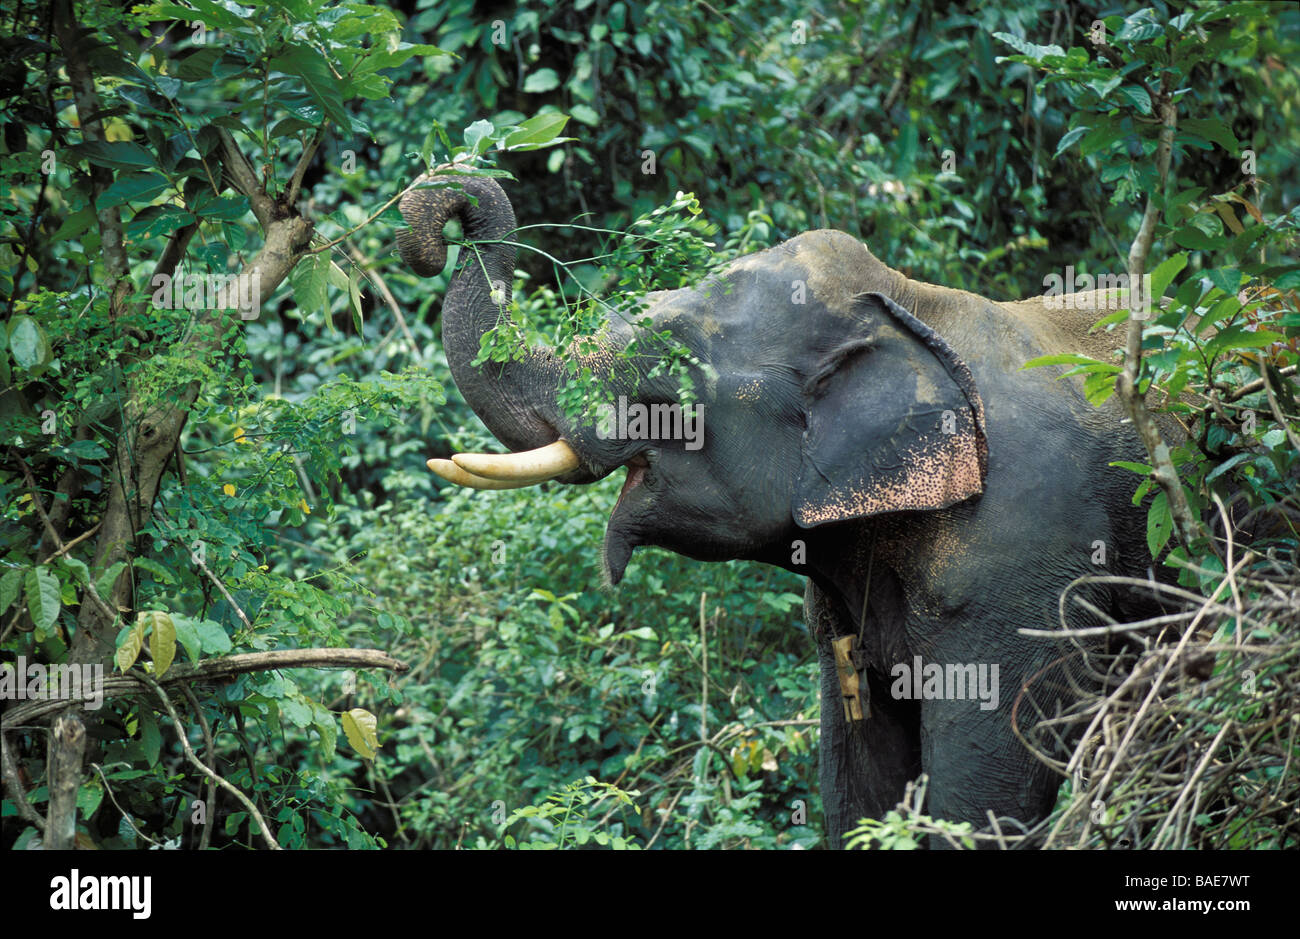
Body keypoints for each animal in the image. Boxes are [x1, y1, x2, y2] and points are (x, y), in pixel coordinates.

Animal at [398, 173, 1163, 847]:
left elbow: (983, 799)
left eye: (663, 385)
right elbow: (858, 786)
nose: (444, 211)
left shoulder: (1027, 571)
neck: (913, 305)